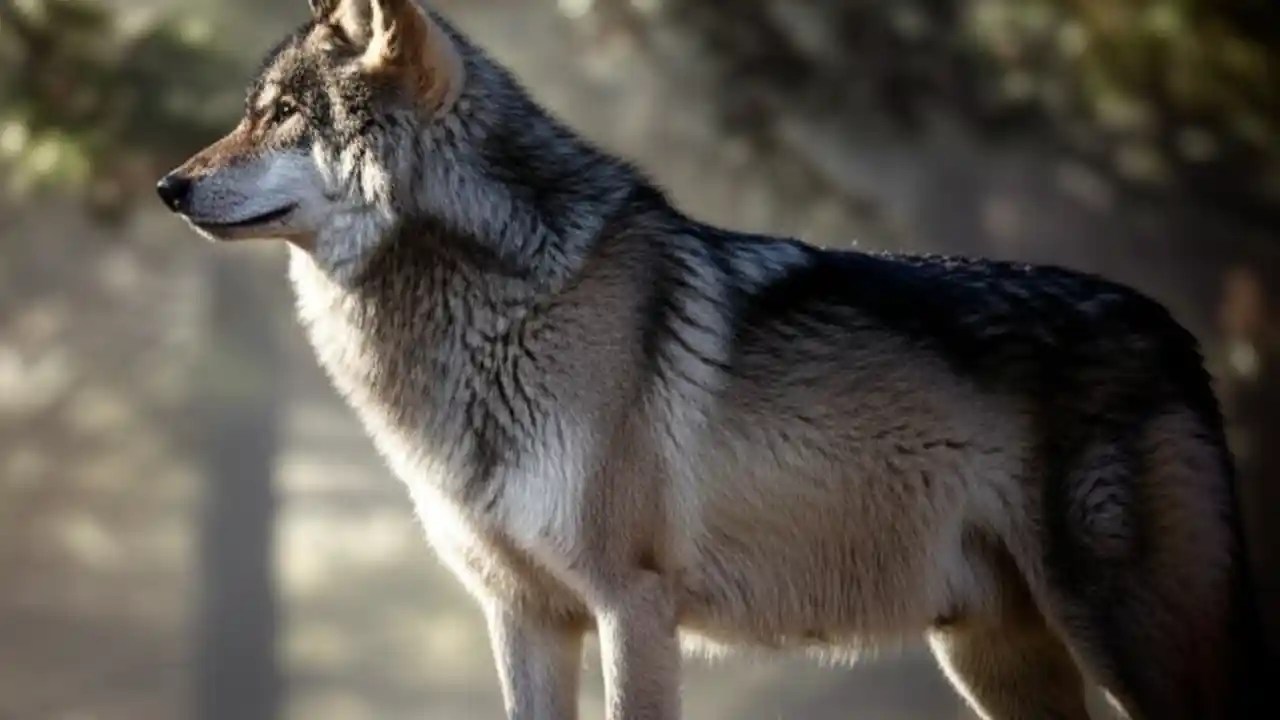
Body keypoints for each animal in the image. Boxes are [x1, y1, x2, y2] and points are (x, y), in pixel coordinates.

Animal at [156, 1, 1267, 718]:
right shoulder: (524, 617)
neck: (504, 299)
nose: (168, 187)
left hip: (1122, 640)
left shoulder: (632, 607)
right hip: (994, 657)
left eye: (281, 114)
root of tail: (1177, 335)